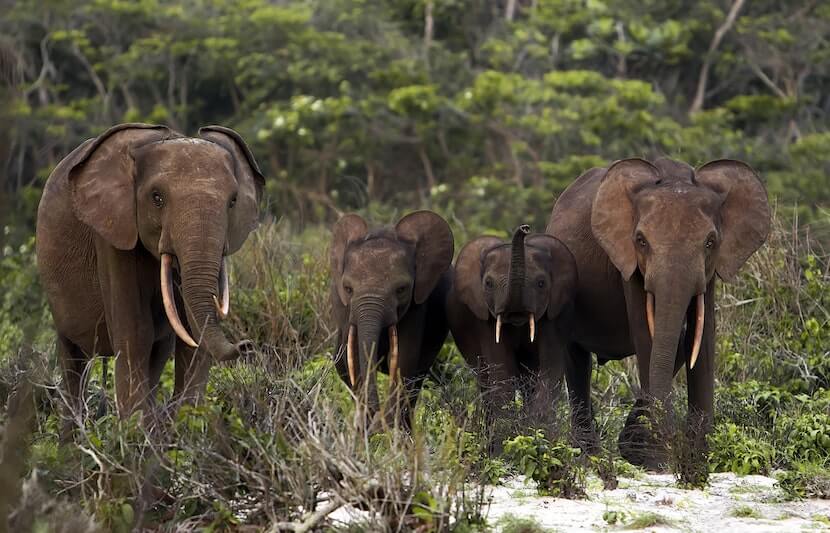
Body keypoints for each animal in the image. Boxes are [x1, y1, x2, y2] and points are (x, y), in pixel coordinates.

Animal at [36, 122, 264, 426]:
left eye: (233, 201)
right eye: (157, 198)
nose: (247, 345)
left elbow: (189, 334)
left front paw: (187, 424)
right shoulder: (112, 231)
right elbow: (135, 332)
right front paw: (134, 431)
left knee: (158, 353)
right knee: (73, 361)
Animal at [329, 210, 454, 429]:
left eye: (401, 289)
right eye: (348, 288)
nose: (376, 414)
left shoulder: (417, 303)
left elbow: (404, 359)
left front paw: (384, 428)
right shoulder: (344, 308)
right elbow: (352, 358)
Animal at [446, 225, 577, 425]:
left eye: (541, 283)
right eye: (488, 283)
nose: (524, 228)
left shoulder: (557, 315)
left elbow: (550, 369)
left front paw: (535, 428)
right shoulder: (485, 318)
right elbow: (501, 371)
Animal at [547, 157, 770, 467]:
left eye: (710, 242)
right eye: (641, 240)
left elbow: (702, 338)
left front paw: (698, 457)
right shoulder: (627, 263)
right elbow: (647, 336)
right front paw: (655, 459)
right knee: (576, 360)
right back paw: (588, 456)